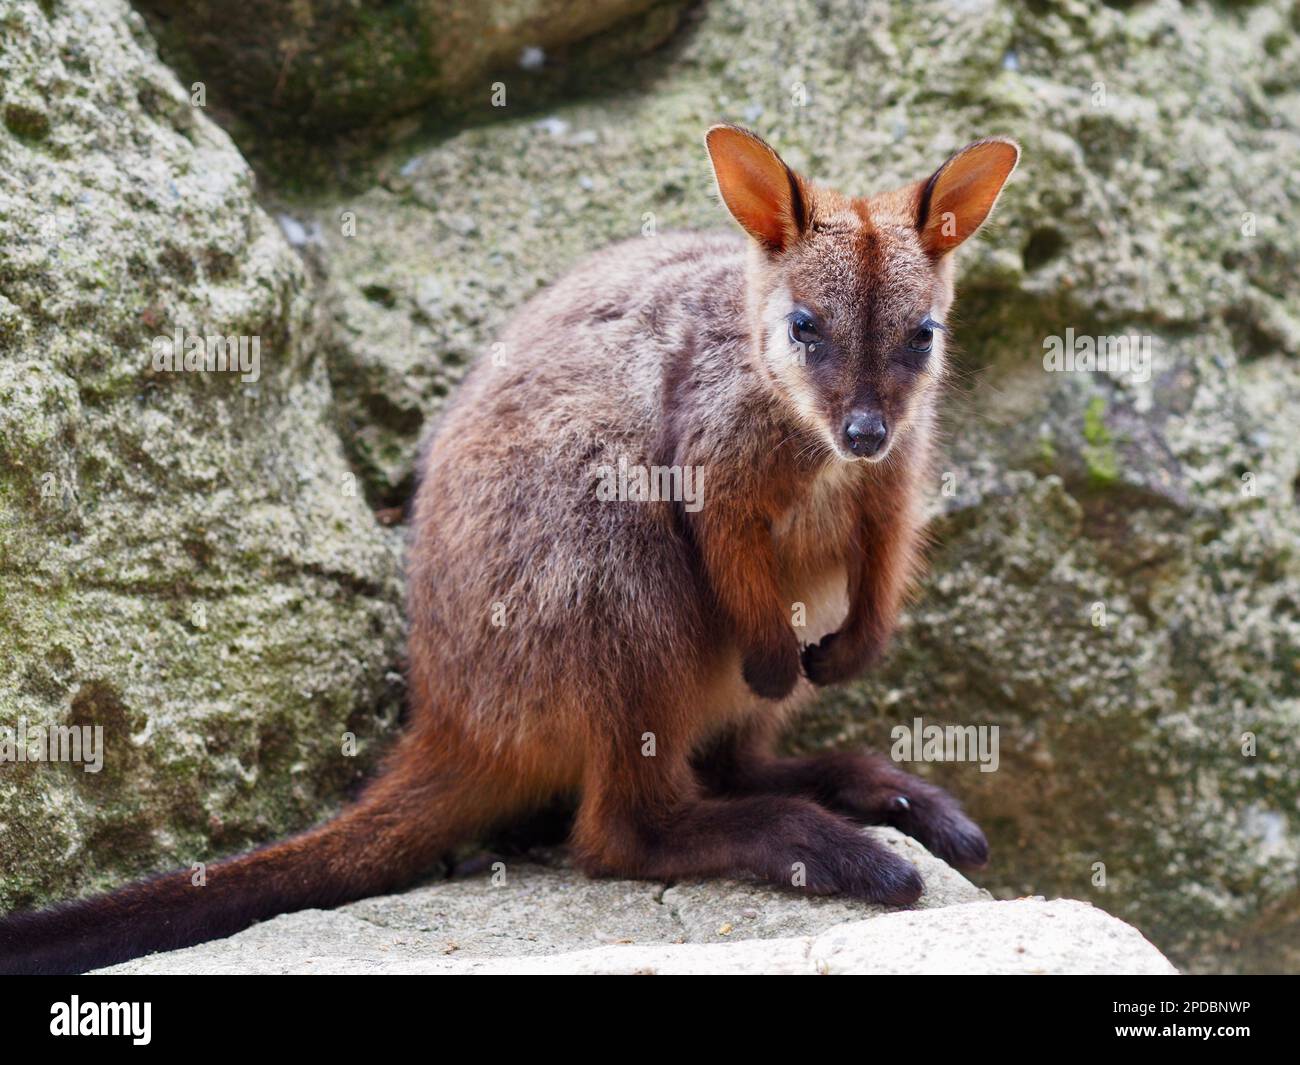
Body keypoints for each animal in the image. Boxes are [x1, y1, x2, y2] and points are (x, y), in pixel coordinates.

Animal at [0, 125, 1019, 974]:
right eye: (806, 328)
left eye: (922, 335)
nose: (863, 430)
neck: (807, 434)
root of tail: (453, 719)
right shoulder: (708, 460)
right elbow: (726, 542)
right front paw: (777, 660)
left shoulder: (895, 481)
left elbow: (886, 550)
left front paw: (856, 655)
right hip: (607, 572)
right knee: (620, 833)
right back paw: (829, 845)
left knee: (724, 766)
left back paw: (889, 799)